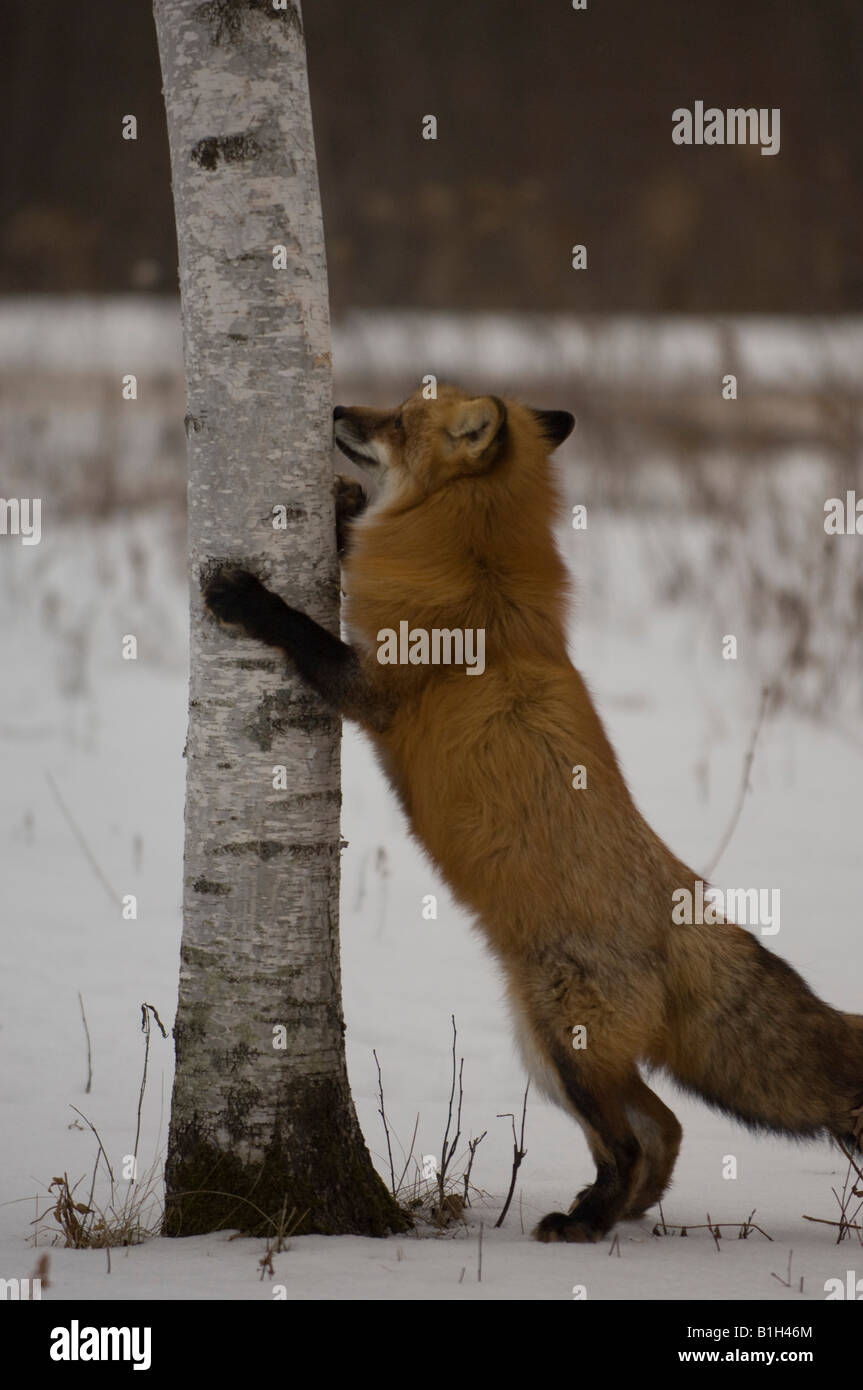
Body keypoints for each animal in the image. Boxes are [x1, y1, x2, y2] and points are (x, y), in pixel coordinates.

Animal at [204, 384, 863, 1242]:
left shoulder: (370, 690)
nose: (339, 410)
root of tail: (683, 905)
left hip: (560, 1046)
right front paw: (345, 509)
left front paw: (246, 598)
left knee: (632, 1137)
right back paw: (611, 1210)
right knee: (663, 1128)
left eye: (397, 421)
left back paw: (582, 1224)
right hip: (551, 1056)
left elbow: (303, 632)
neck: (480, 570)